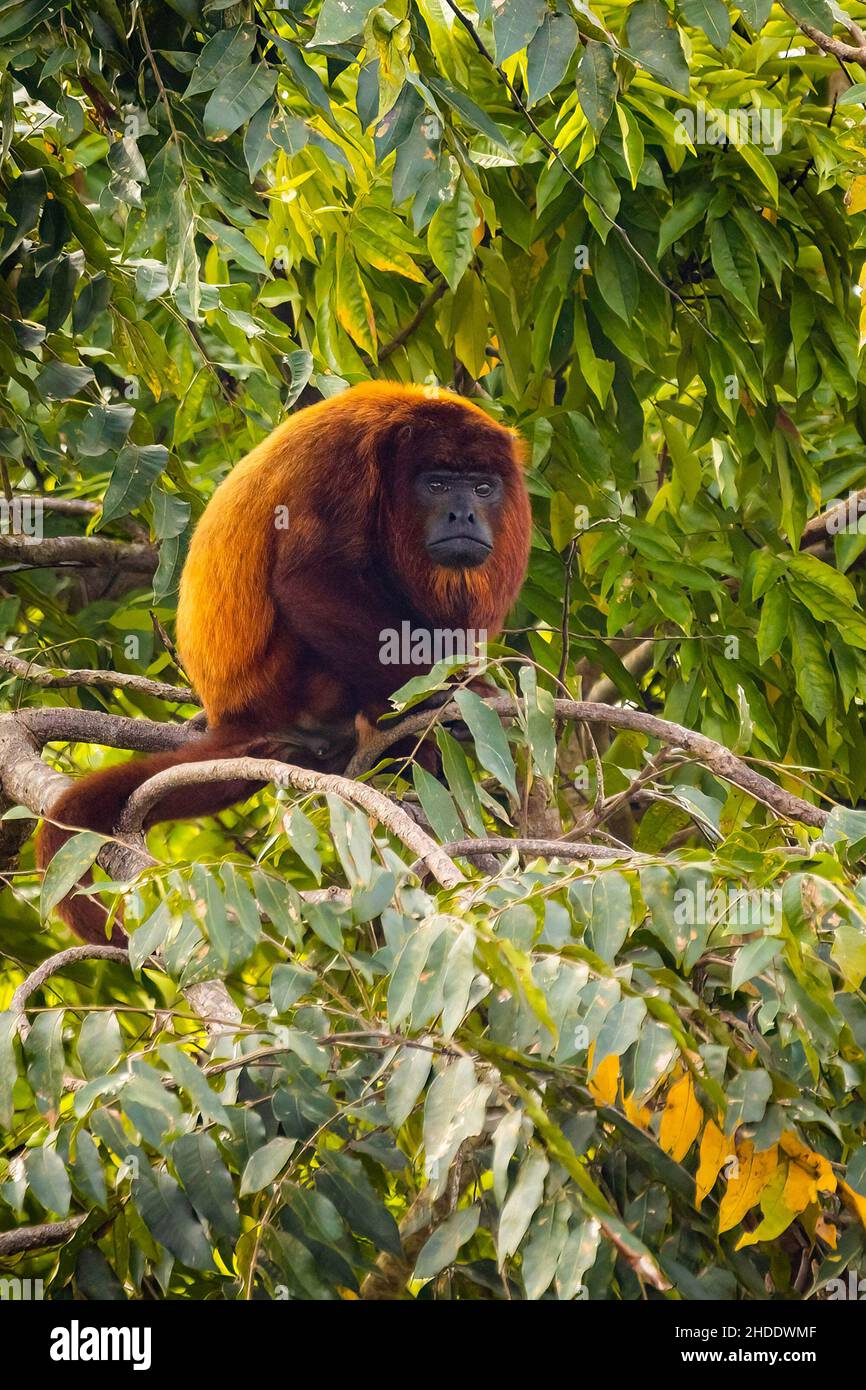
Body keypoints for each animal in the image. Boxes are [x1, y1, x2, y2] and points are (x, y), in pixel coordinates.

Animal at [36, 382, 532, 943]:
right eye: (438, 484)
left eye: (484, 488)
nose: (463, 515)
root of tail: (239, 719)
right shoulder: (342, 463)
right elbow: (309, 580)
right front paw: (453, 695)